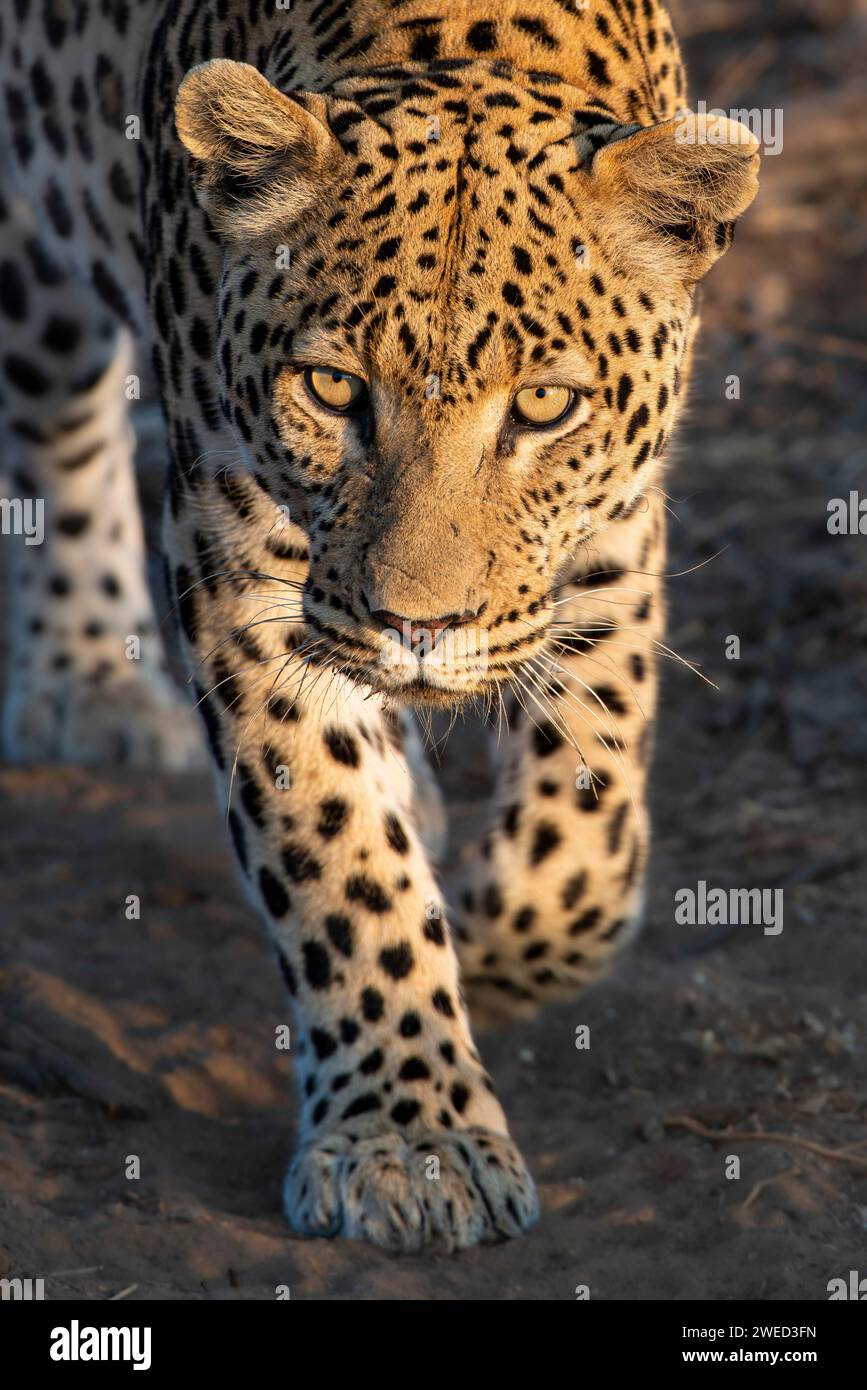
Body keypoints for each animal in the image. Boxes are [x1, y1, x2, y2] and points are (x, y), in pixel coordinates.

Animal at [0, 0, 760, 1253]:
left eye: (543, 406)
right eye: (333, 391)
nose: (420, 622)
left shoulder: (611, 534)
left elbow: (585, 837)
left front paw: (494, 951)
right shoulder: (240, 566)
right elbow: (338, 857)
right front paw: (410, 1136)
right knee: (50, 411)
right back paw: (83, 674)